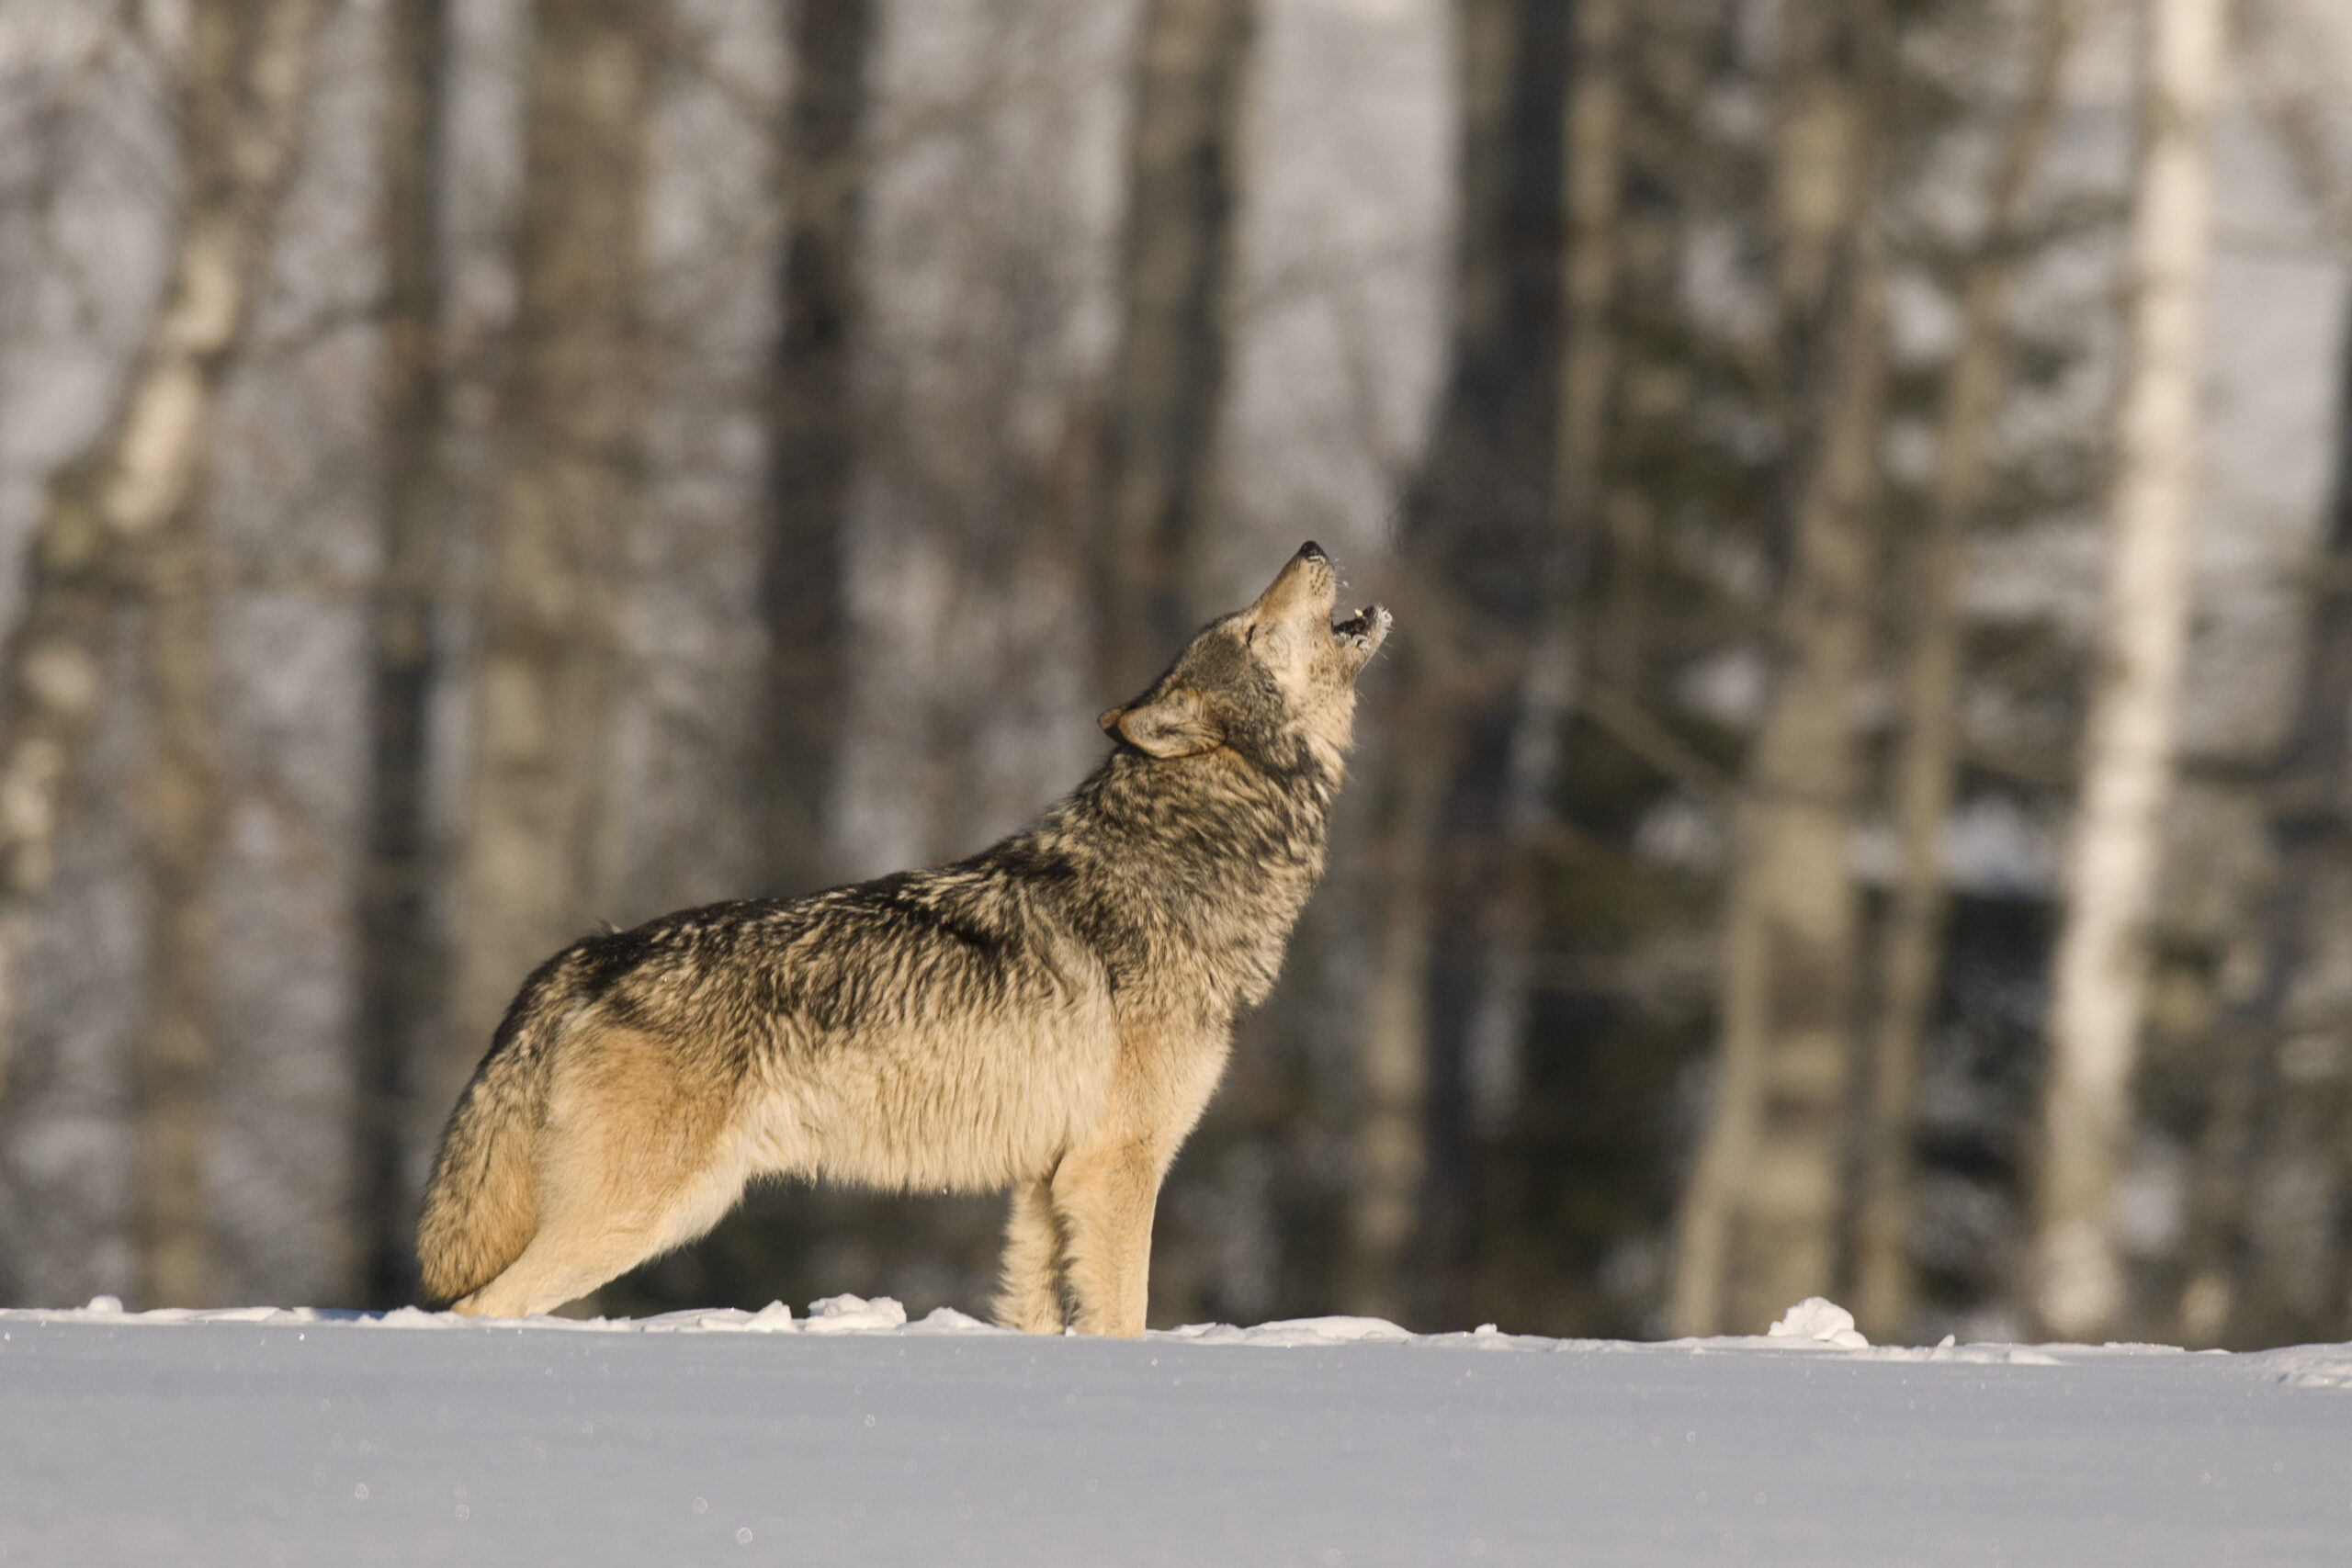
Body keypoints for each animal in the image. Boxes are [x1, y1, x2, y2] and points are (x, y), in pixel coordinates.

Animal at [417, 542, 1389, 1334]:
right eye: (1252, 627)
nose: (1310, 544)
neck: (1189, 854)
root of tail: (597, 951)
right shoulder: (1115, 1168)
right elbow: (1126, 1317)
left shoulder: (1044, 1183)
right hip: (641, 1215)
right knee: (477, 1306)